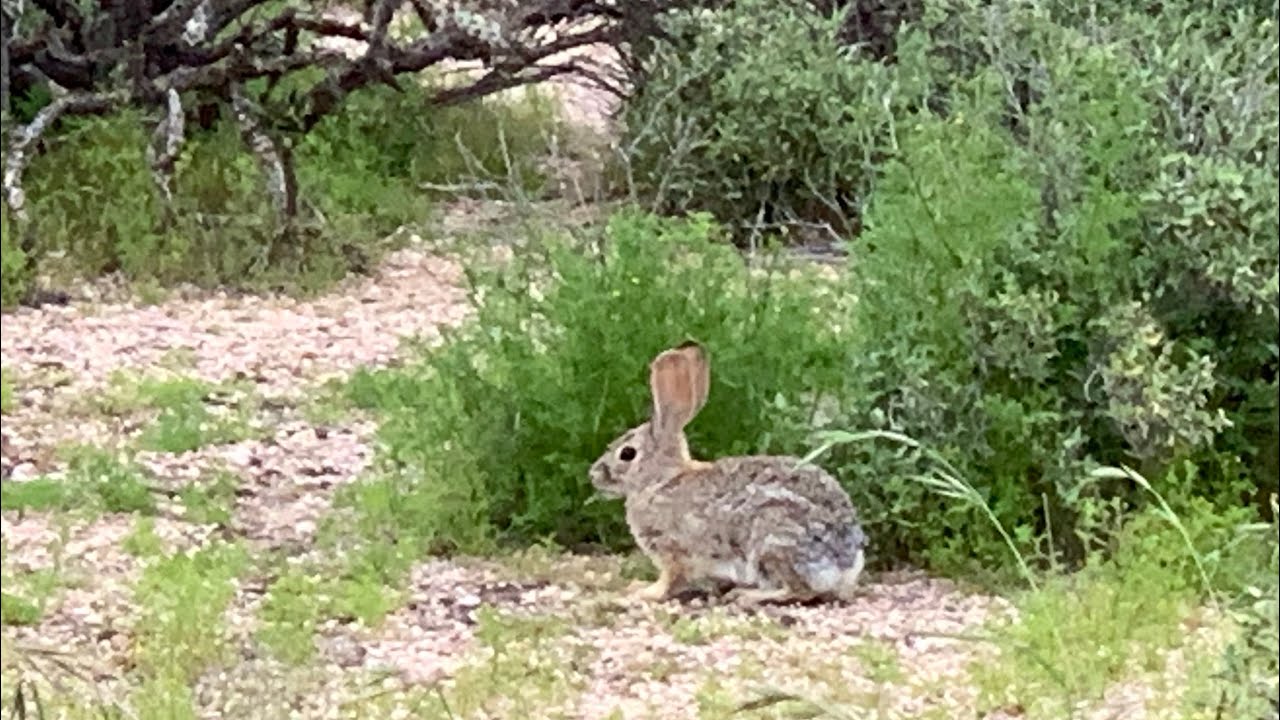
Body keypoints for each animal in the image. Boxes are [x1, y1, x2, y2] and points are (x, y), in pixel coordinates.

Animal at [588, 341, 866, 605]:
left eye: (627, 453)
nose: (594, 475)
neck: (661, 481)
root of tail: (845, 563)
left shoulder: (674, 551)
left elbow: (669, 581)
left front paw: (643, 593)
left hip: (774, 539)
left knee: (800, 590)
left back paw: (746, 596)